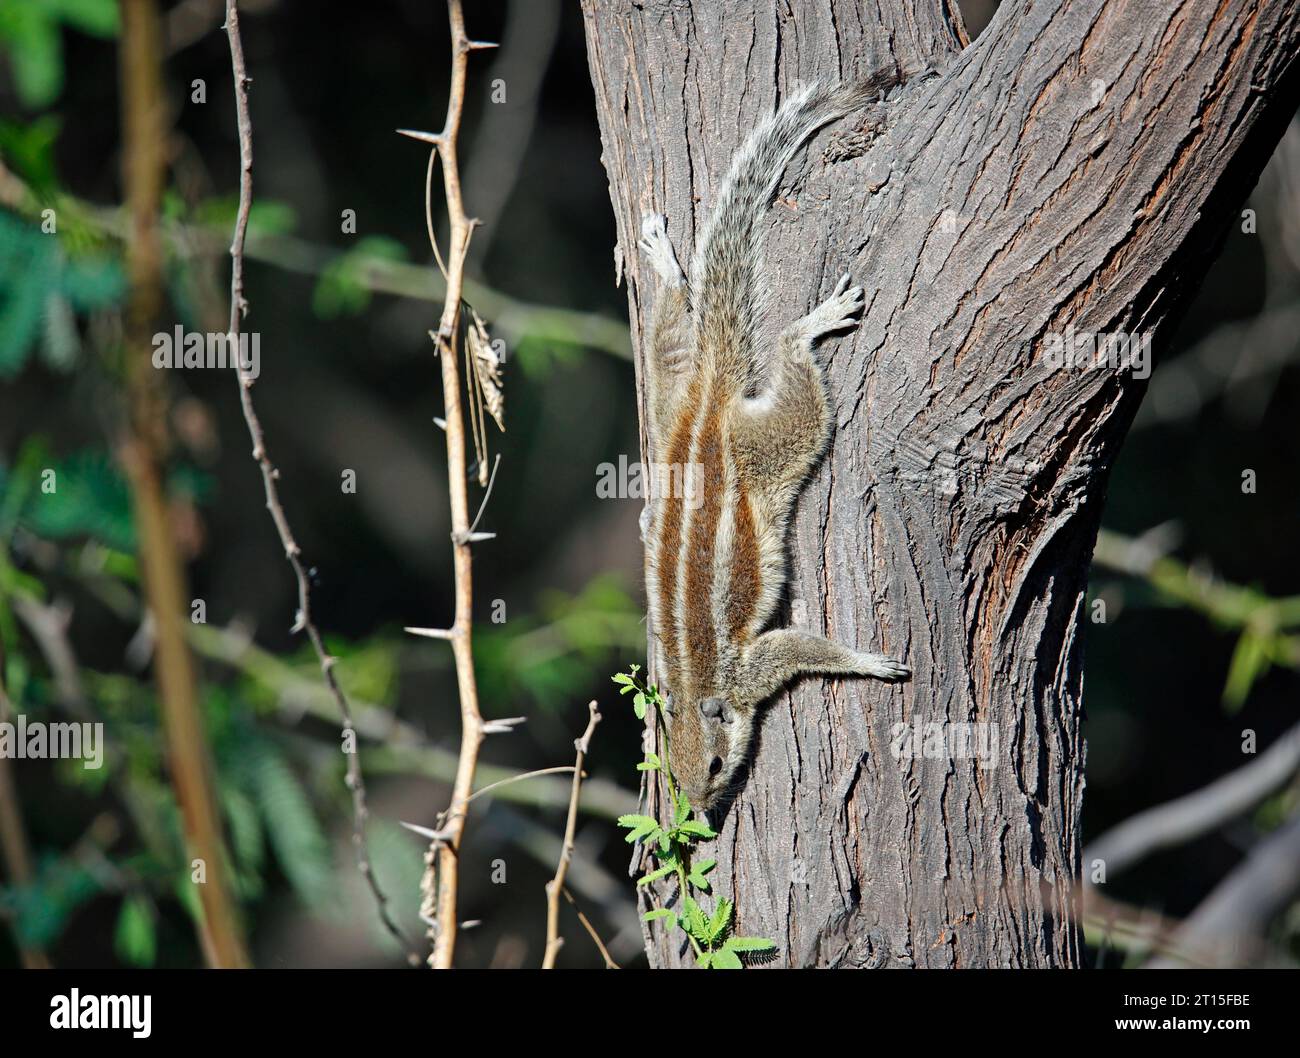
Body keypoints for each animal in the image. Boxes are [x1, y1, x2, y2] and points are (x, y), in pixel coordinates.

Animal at [639, 75, 910, 813]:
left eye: (713, 765)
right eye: (670, 775)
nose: (702, 813)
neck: (698, 688)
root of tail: (708, 397)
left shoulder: (751, 669)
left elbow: (800, 647)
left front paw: (864, 661)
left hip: (779, 438)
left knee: (788, 358)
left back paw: (810, 322)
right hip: (668, 400)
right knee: (670, 334)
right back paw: (664, 263)